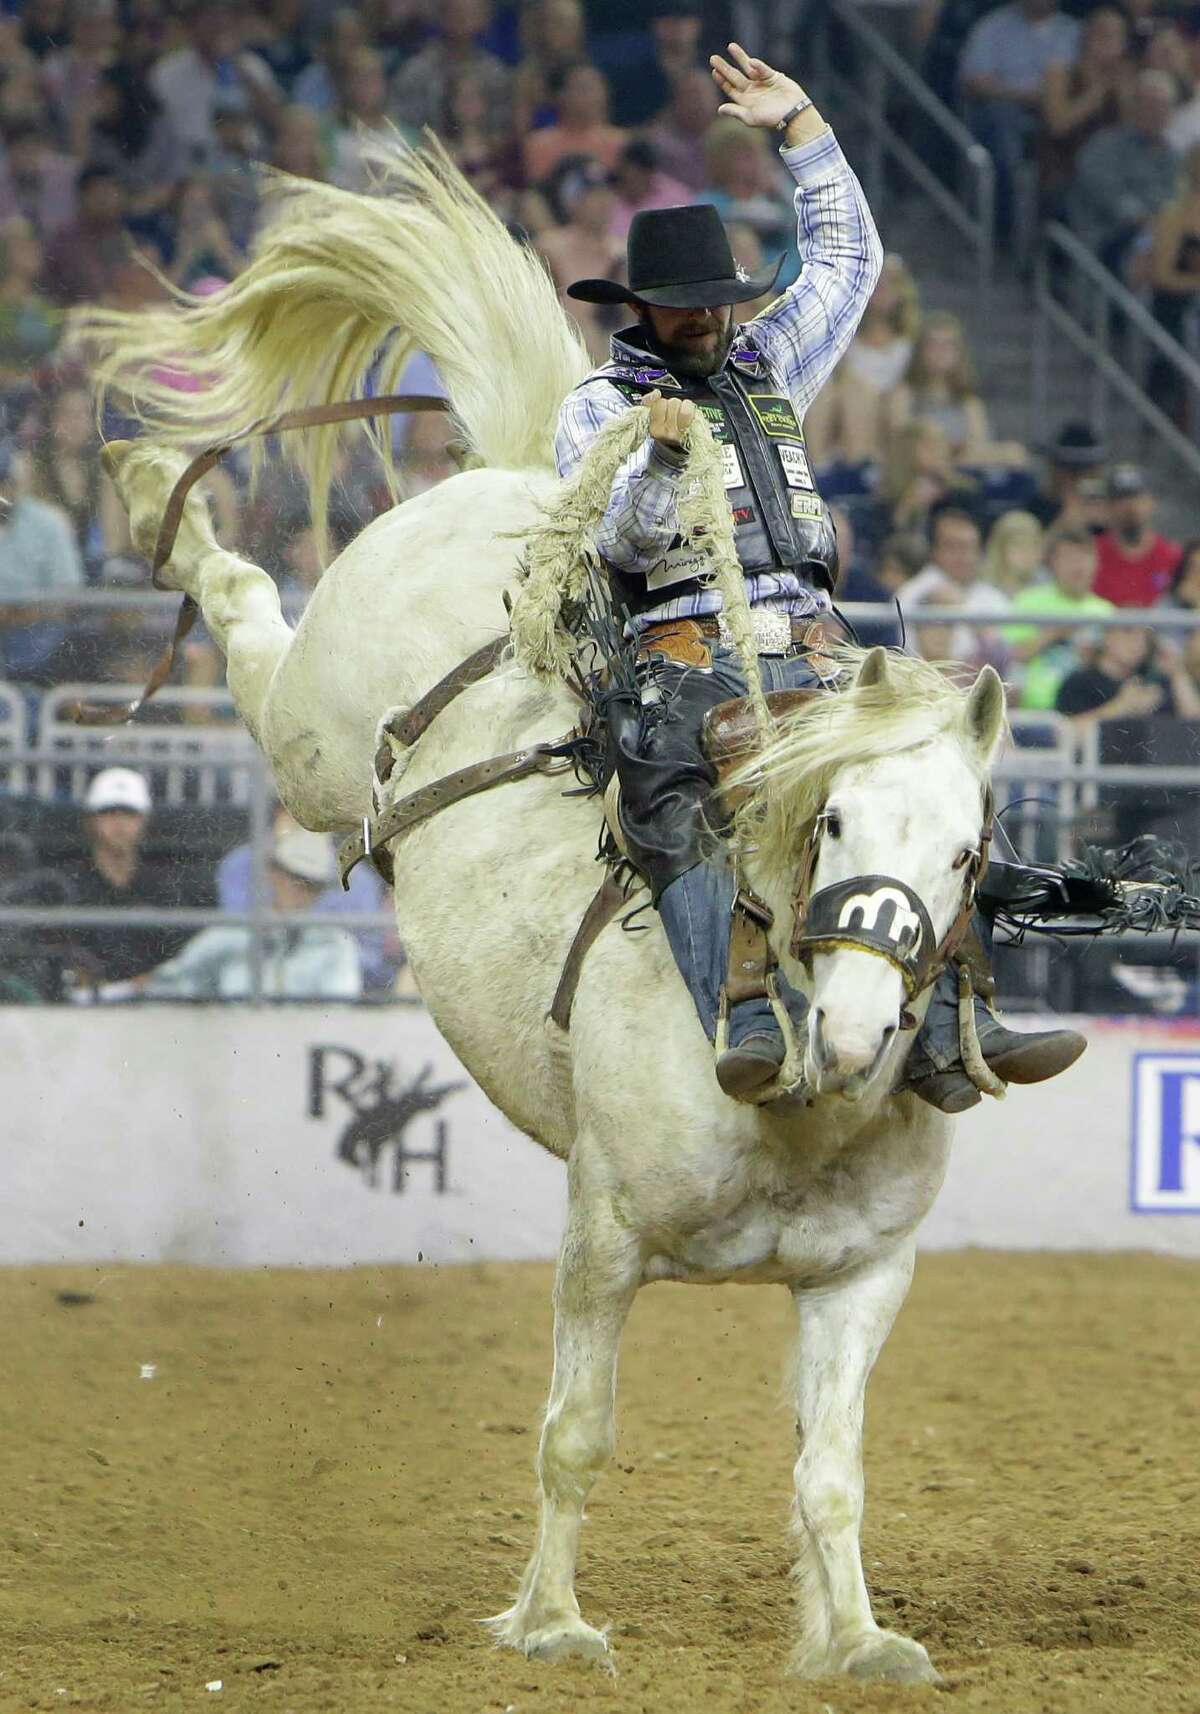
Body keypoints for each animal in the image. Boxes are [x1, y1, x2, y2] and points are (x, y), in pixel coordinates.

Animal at [84, 141, 1007, 1684]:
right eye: (829, 822)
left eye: (967, 849)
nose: (860, 1028)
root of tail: (530, 477)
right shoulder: (602, 1231)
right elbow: (576, 1436)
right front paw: (553, 1622)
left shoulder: (864, 1277)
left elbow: (830, 1472)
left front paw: (859, 1640)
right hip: (309, 732)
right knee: (247, 604)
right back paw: (158, 482)